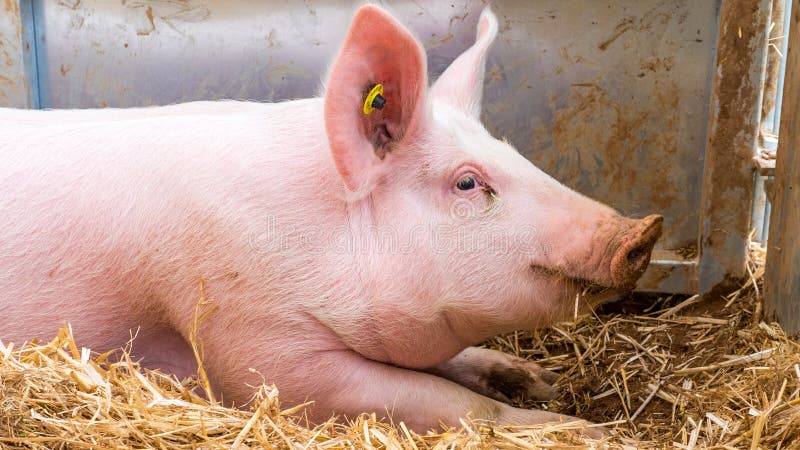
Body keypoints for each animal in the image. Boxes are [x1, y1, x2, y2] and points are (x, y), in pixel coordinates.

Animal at [0, 5, 662, 434]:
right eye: (467, 182)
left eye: (514, 151)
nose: (643, 230)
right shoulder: (256, 341)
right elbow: (457, 405)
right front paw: (581, 430)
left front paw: (538, 379)